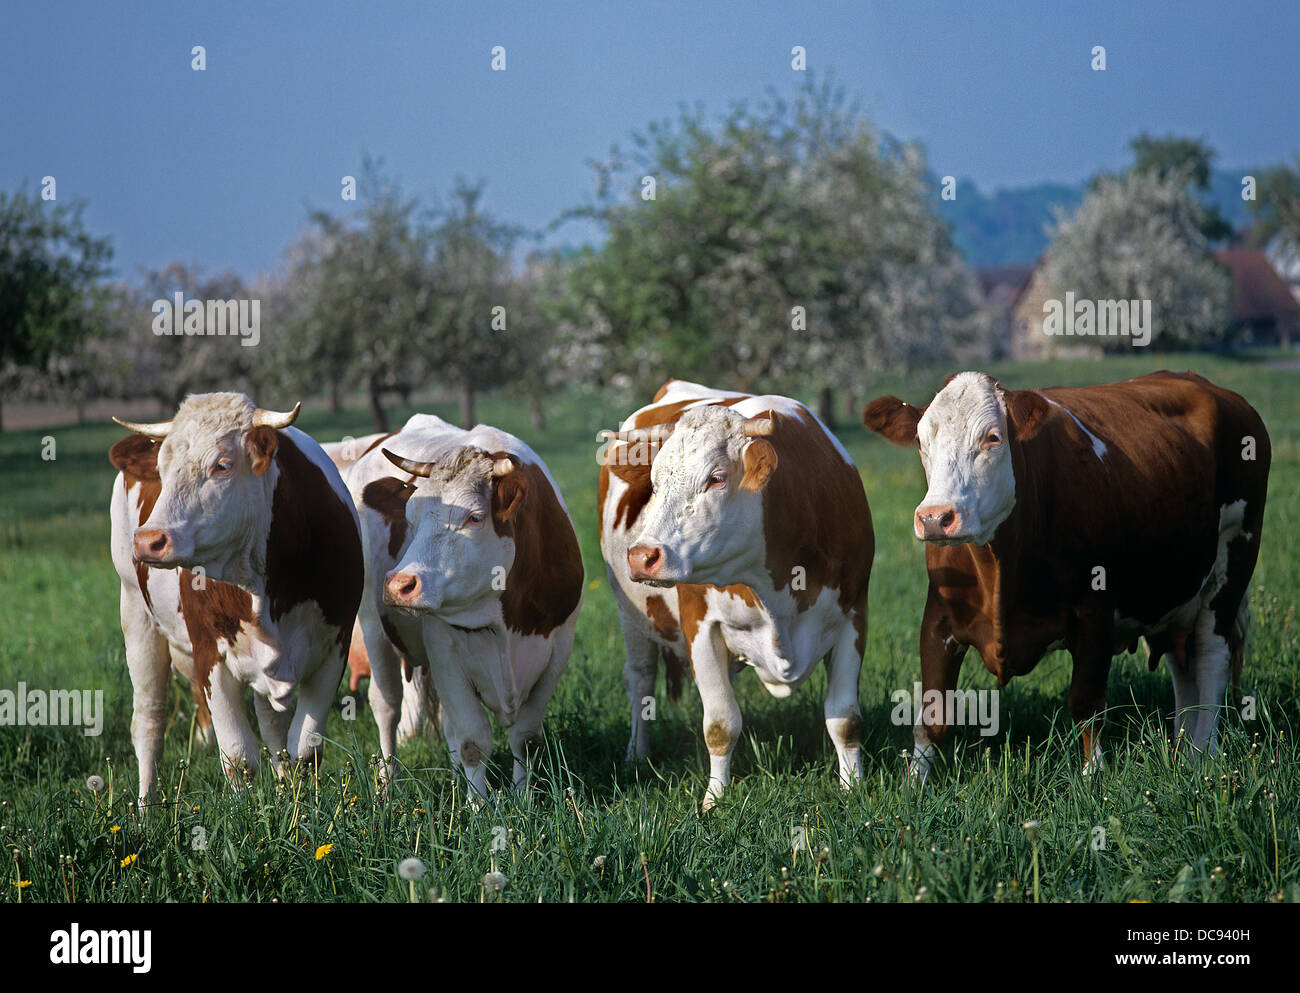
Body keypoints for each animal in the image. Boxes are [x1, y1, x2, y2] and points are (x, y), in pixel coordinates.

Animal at [109, 393, 364, 803]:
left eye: (222, 465)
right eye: (162, 469)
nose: (148, 540)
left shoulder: (335, 647)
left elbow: (304, 747)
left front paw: (297, 803)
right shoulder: (209, 654)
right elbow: (238, 755)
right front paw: (245, 812)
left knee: (272, 724)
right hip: (136, 613)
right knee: (148, 720)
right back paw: (146, 806)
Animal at [338, 414, 583, 796]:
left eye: (474, 517)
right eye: (410, 517)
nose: (398, 585)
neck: (506, 620)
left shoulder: (557, 650)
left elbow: (525, 737)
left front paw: (522, 795)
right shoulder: (445, 654)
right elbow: (473, 741)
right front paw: (478, 804)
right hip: (373, 625)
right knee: (387, 705)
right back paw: (386, 785)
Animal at [599, 380, 874, 811]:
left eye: (716, 477)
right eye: (655, 483)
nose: (642, 556)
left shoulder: (854, 616)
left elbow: (845, 719)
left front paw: (853, 789)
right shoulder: (701, 628)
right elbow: (720, 724)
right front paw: (714, 800)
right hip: (631, 616)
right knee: (640, 679)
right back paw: (636, 755)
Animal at [863, 370, 1270, 781]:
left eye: (992, 437)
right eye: (920, 440)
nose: (935, 517)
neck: (998, 567)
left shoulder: (1095, 614)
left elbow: (1086, 706)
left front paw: (1093, 777)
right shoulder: (938, 617)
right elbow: (932, 716)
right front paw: (914, 785)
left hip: (1233, 567)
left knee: (1212, 660)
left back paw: (1206, 753)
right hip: (1174, 592)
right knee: (1182, 664)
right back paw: (1185, 751)